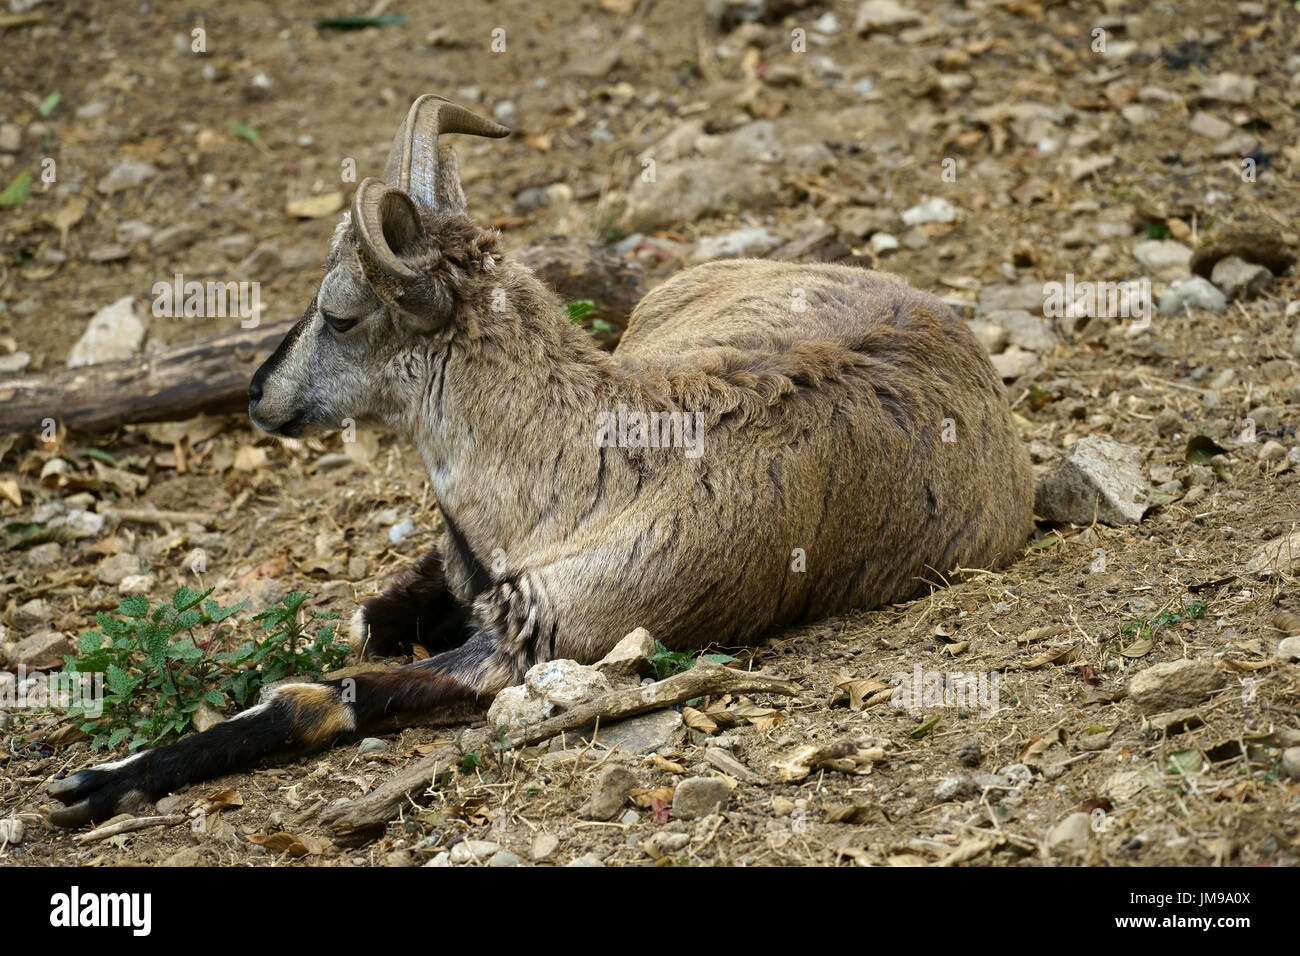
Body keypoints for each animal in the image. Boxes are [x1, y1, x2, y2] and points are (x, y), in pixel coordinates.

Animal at [48, 94, 1032, 827]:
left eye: (340, 314)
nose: (259, 393)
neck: (584, 475)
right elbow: (369, 623)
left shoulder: (543, 643)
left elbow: (323, 694)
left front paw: (96, 782)